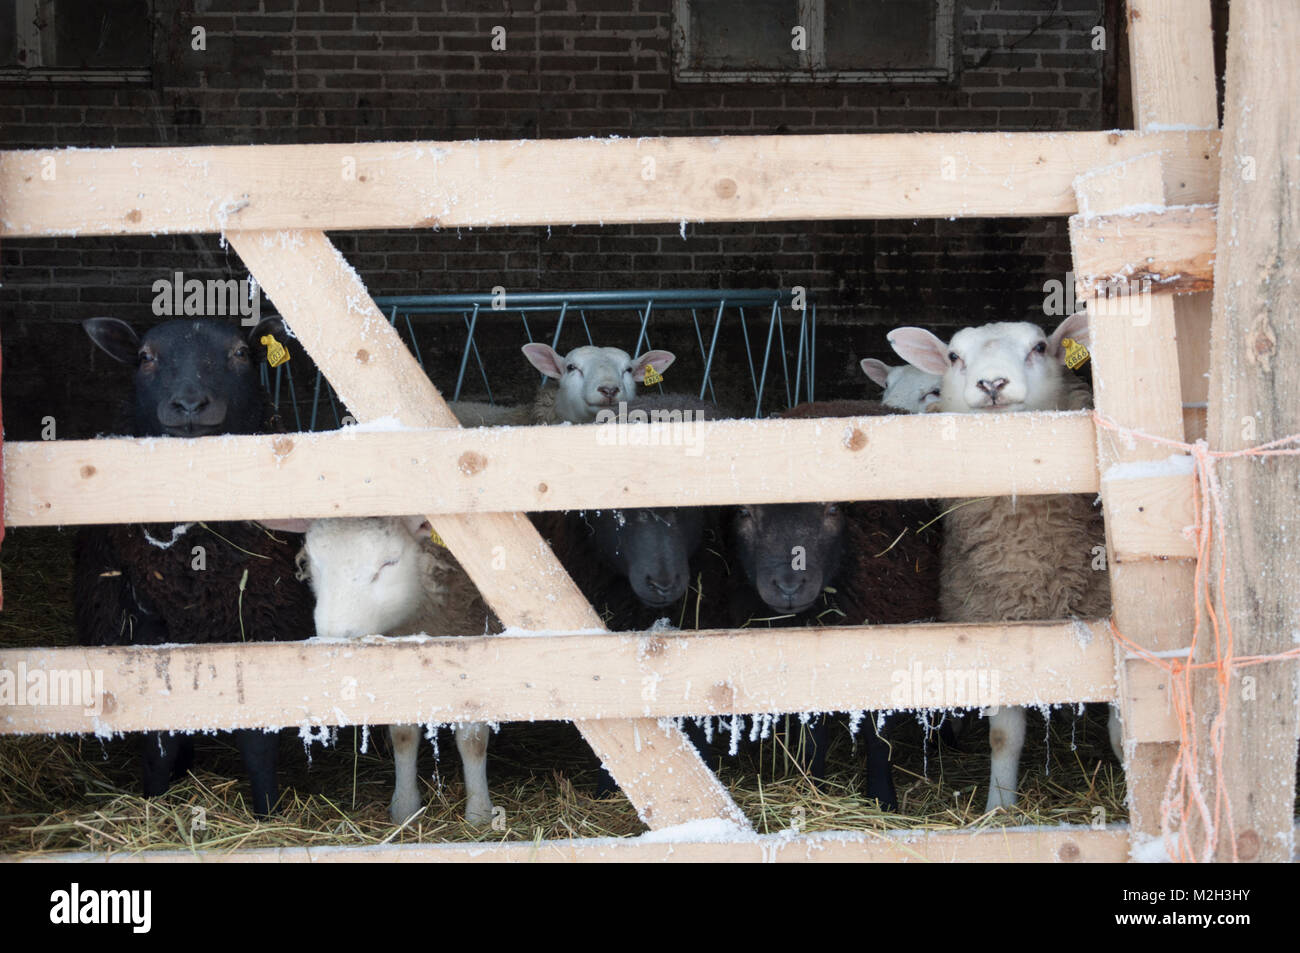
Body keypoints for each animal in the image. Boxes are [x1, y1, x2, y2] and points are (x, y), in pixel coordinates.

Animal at [73, 316, 315, 816]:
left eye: (241, 353)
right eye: (144, 357)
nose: (188, 404)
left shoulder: (262, 629)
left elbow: (258, 742)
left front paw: (266, 813)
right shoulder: (147, 635)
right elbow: (158, 740)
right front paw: (154, 802)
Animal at [263, 515, 500, 825]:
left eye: (390, 562)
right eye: (314, 561)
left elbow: (473, 742)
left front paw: (479, 814)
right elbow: (404, 736)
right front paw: (405, 808)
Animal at [726, 399, 943, 808]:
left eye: (831, 509)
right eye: (744, 512)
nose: (789, 585)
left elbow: (876, 733)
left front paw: (882, 797)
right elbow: (814, 729)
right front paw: (814, 784)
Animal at [888, 313, 1114, 811]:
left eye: (1040, 347)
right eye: (954, 356)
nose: (992, 383)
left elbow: (1122, 726)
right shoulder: (998, 627)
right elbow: (1003, 737)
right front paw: (998, 808)